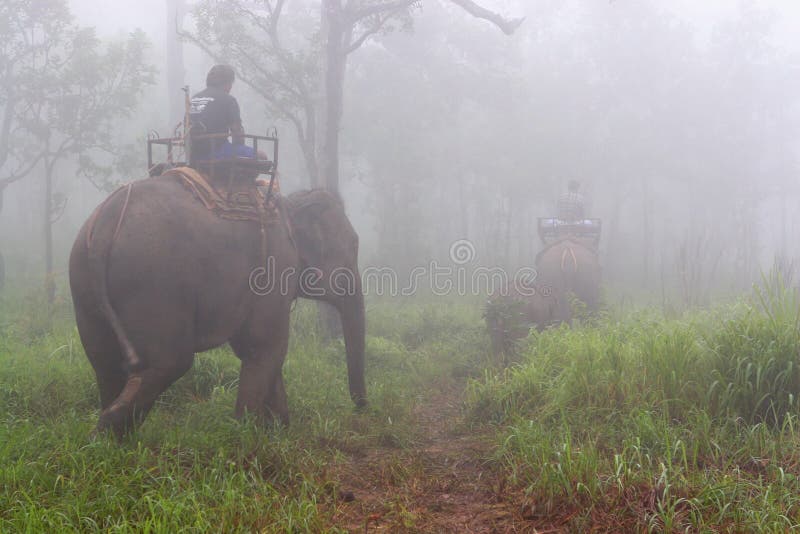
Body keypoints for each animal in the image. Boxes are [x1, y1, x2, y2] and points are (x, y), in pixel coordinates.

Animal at [69, 173, 365, 438]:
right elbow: (265, 346)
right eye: (353, 245)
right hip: (153, 283)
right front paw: (247, 435)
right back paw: (107, 437)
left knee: (106, 364)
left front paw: (278, 431)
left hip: (83, 280)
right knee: (169, 361)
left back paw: (111, 442)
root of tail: (107, 221)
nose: (361, 406)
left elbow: (256, 348)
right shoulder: (275, 267)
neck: (288, 207)